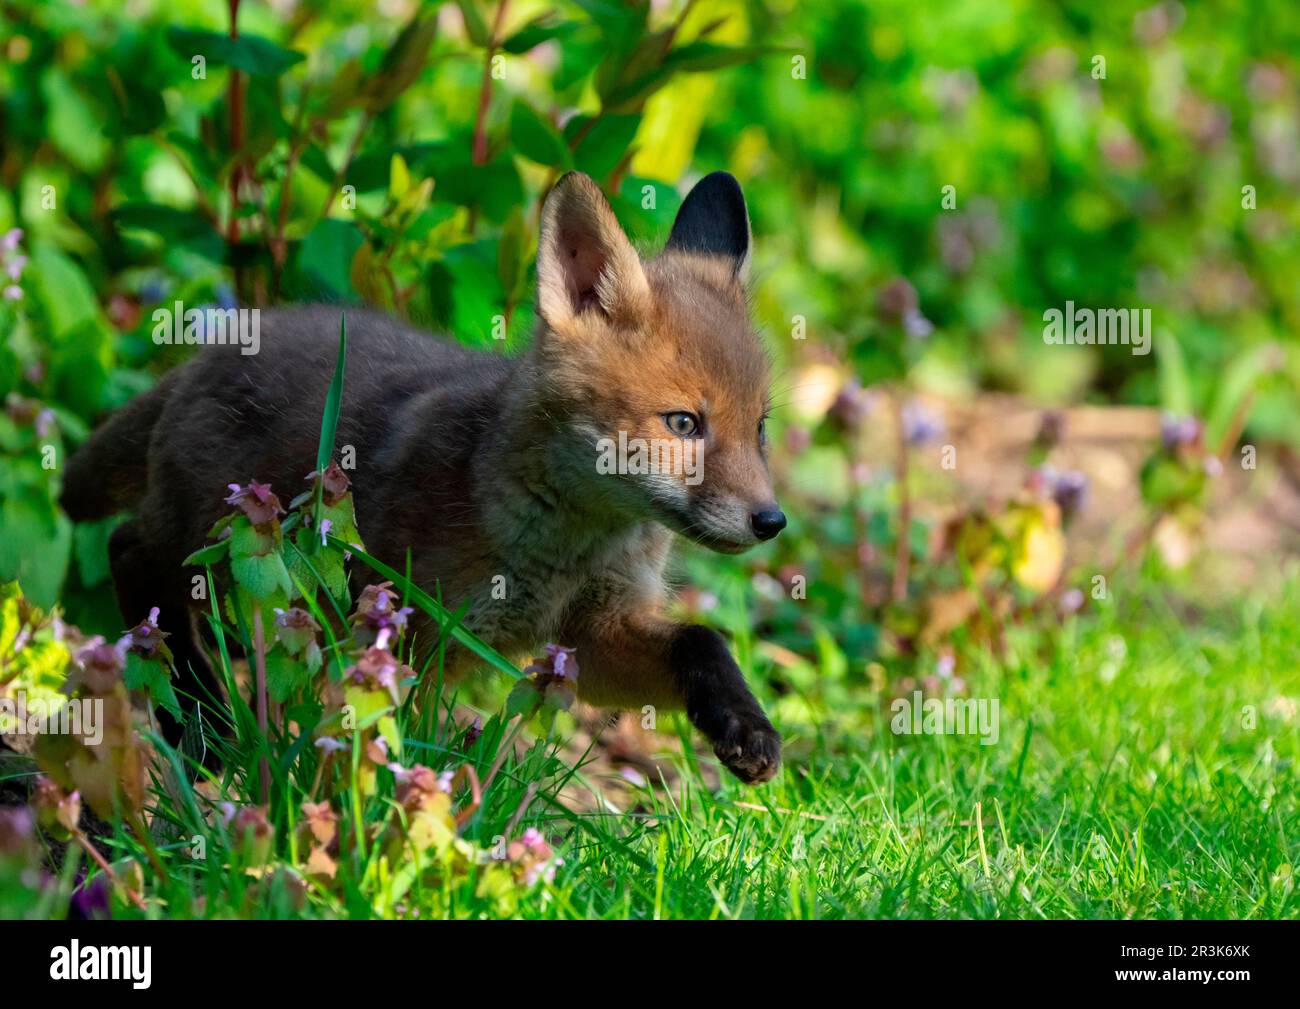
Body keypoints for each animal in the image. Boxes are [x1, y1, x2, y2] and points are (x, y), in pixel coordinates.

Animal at [60, 171, 786, 783]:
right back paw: (200, 727)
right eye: (684, 423)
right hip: (223, 542)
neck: (567, 548)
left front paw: (745, 727)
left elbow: (701, 640)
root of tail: (208, 351)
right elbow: (399, 735)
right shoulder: (415, 628)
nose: (772, 521)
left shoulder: (594, 633)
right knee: (129, 553)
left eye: (760, 427)